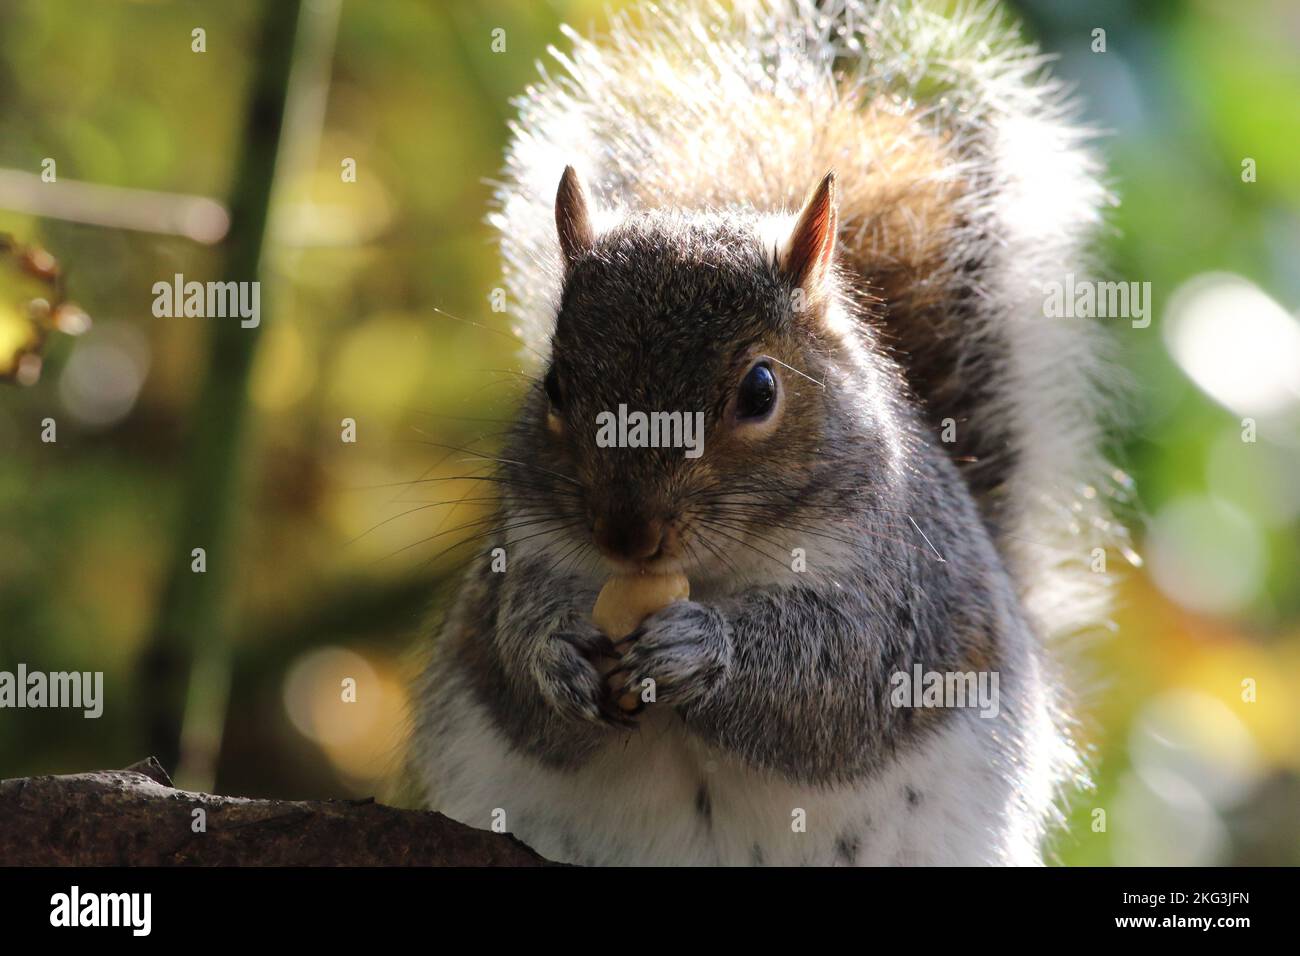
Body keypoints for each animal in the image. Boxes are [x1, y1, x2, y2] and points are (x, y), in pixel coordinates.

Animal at [405, 0, 1126, 865]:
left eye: (760, 390)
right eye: (555, 385)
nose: (627, 534)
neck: (706, 575)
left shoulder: (902, 592)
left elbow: (838, 676)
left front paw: (702, 648)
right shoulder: (520, 556)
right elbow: (512, 649)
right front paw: (553, 657)